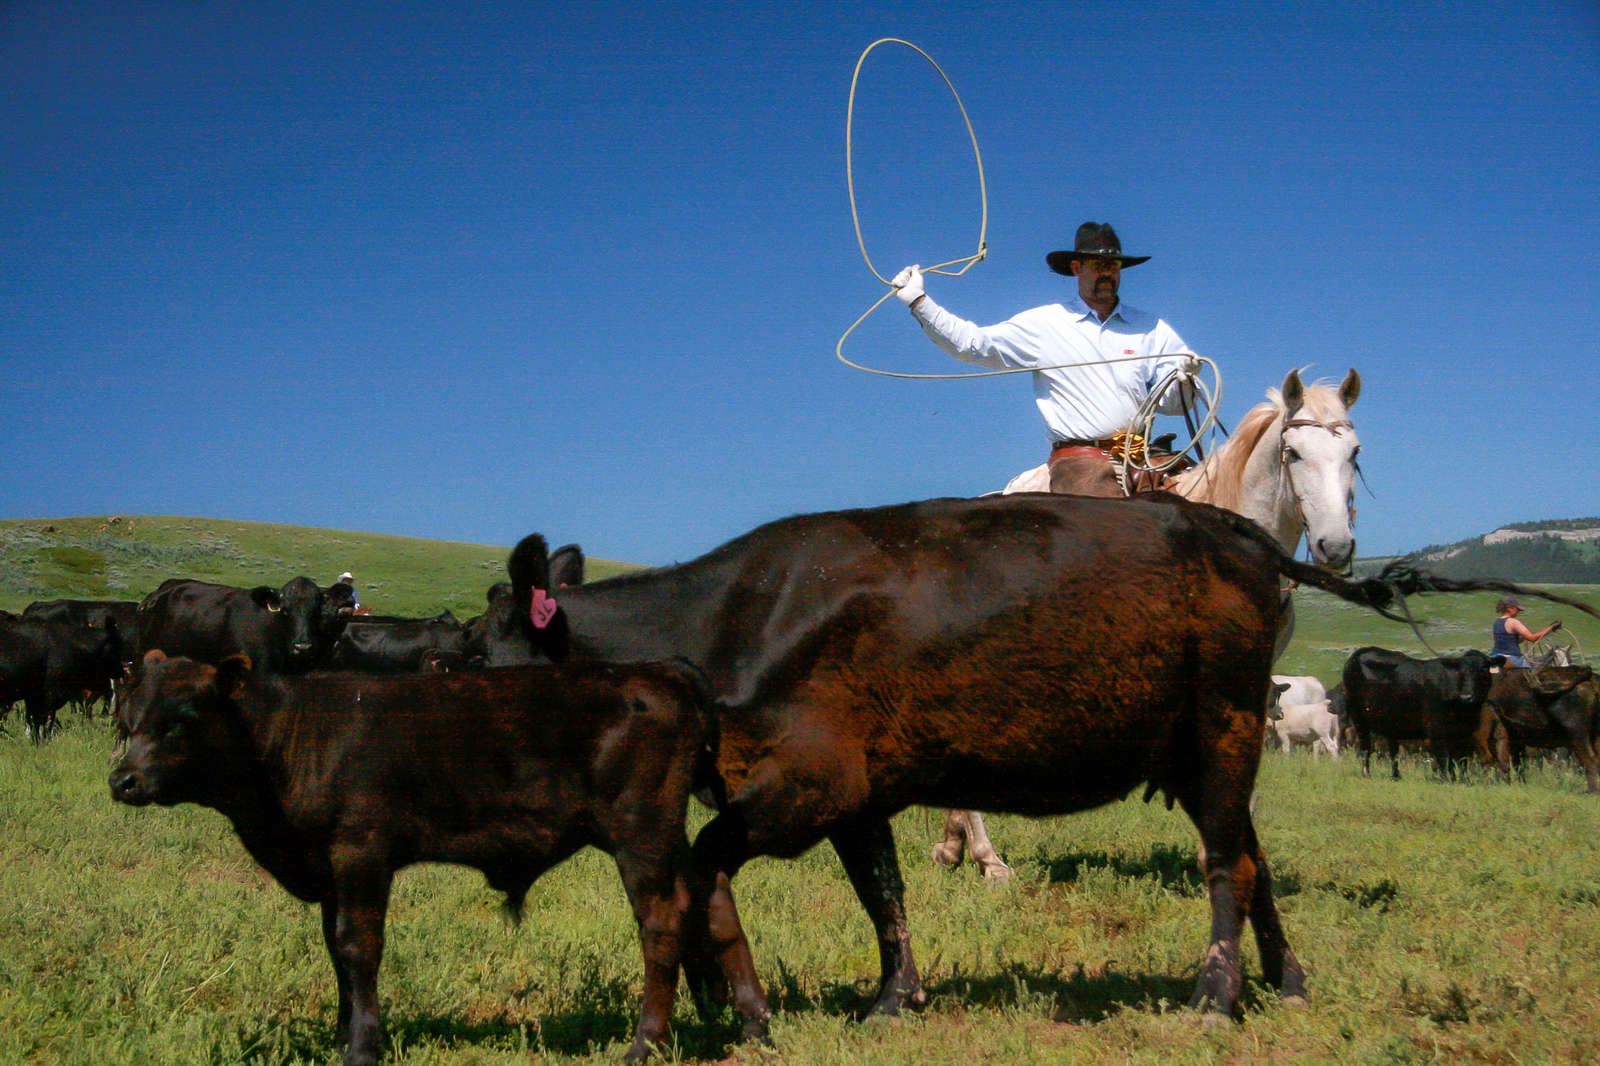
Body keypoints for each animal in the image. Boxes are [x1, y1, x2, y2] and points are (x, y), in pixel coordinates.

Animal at [108, 650, 764, 1065]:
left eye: (181, 721)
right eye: (127, 720)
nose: (122, 780)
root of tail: (658, 669)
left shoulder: (361, 850)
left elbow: (358, 947)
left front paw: (363, 1045)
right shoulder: (330, 868)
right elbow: (336, 951)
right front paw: (342, 1035)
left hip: (640, 830)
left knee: (662, 923)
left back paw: (643, 1045)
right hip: (666, 833)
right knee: (715, 894)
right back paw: (754, 1023)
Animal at [1341, 647, 1500, 780]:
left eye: (1483, 669)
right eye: (1460, 672)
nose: (1467, 697)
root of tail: (1357, 654)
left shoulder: (1464, 732)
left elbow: (1461, 759)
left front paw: (1464, 781)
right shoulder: (1435, 727)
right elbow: (1443, 756)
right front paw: (1445, 780)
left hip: (1390, 721)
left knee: (1393, 750)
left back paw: (1396, 776)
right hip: (1358, 717)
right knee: (1365, 747)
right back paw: (1366, 774)